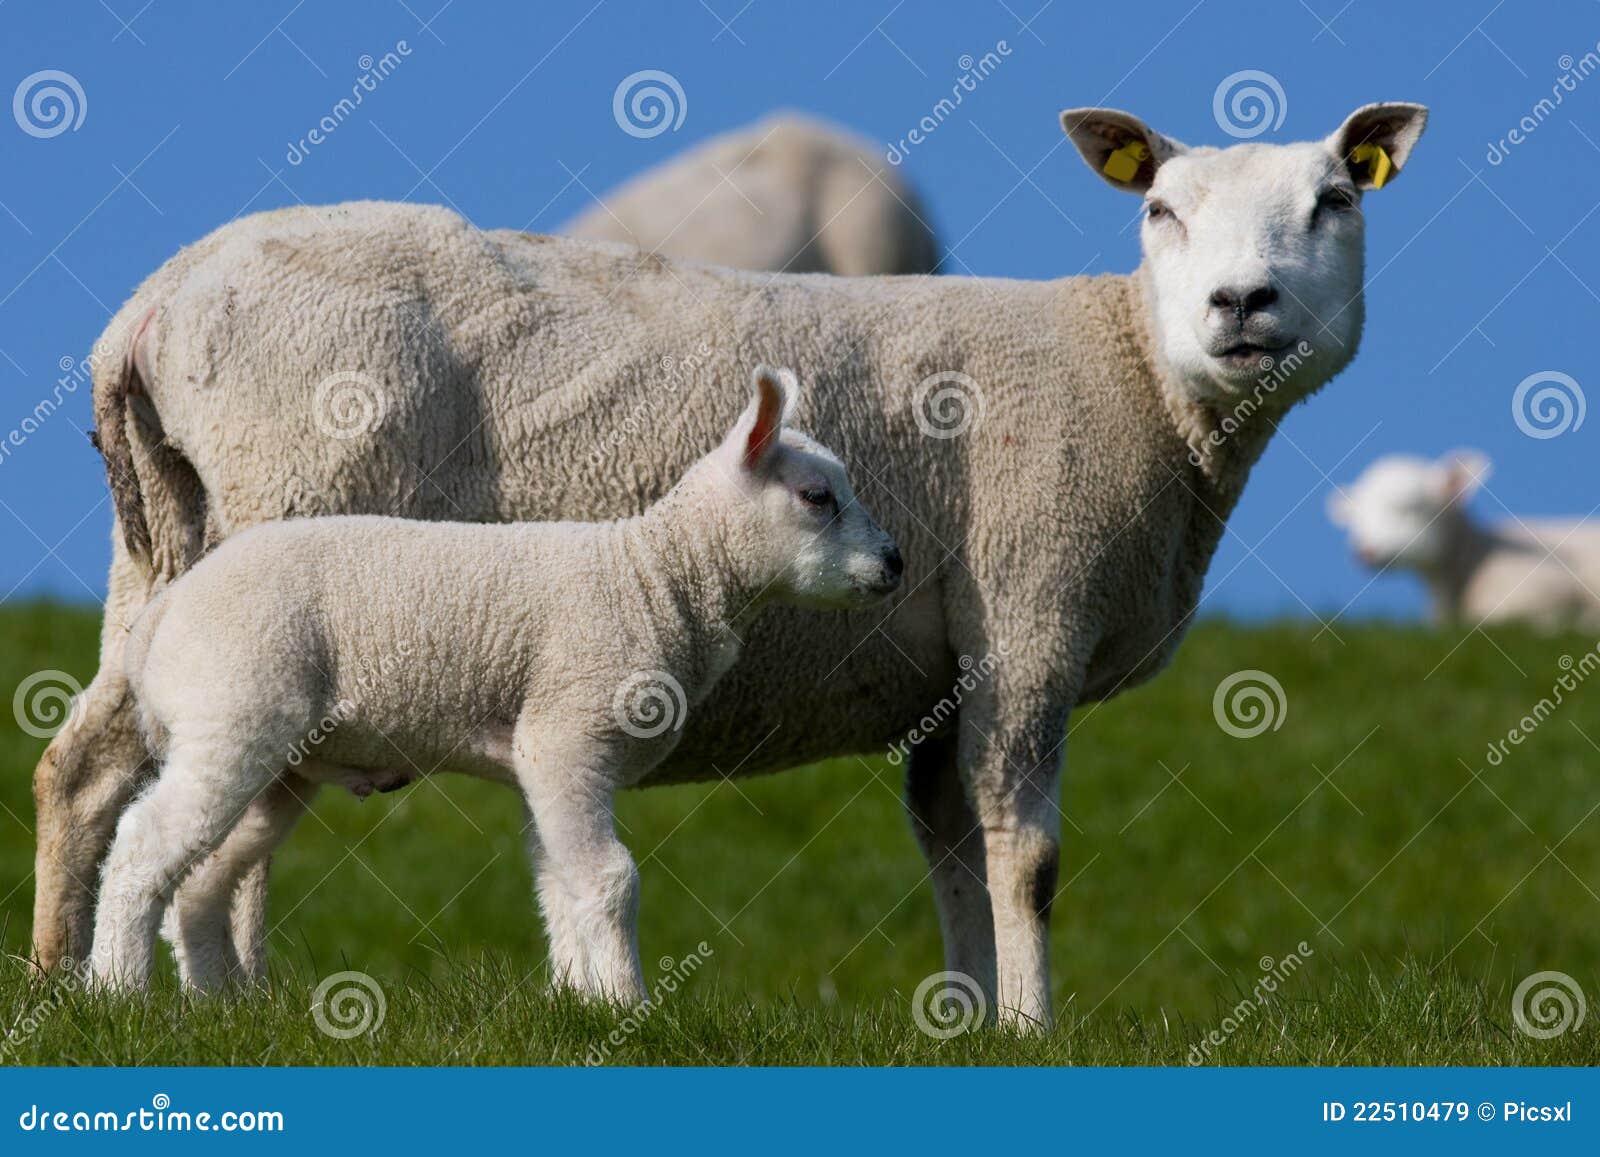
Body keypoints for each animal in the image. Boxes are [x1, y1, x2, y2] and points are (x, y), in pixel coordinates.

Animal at [90, 366, 902, 994]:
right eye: (818, 498)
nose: (895, 563)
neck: (658, 572)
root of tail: (158, 620)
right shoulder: (569, 733)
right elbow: (609, 878)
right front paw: (631, 1005)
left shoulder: (546, 760)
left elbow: (559, 884)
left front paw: (581, 1004)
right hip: (234, 713)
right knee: (142, 843)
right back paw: (117, 992)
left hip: (277, 763)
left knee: (202, 876)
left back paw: (215, 1003)